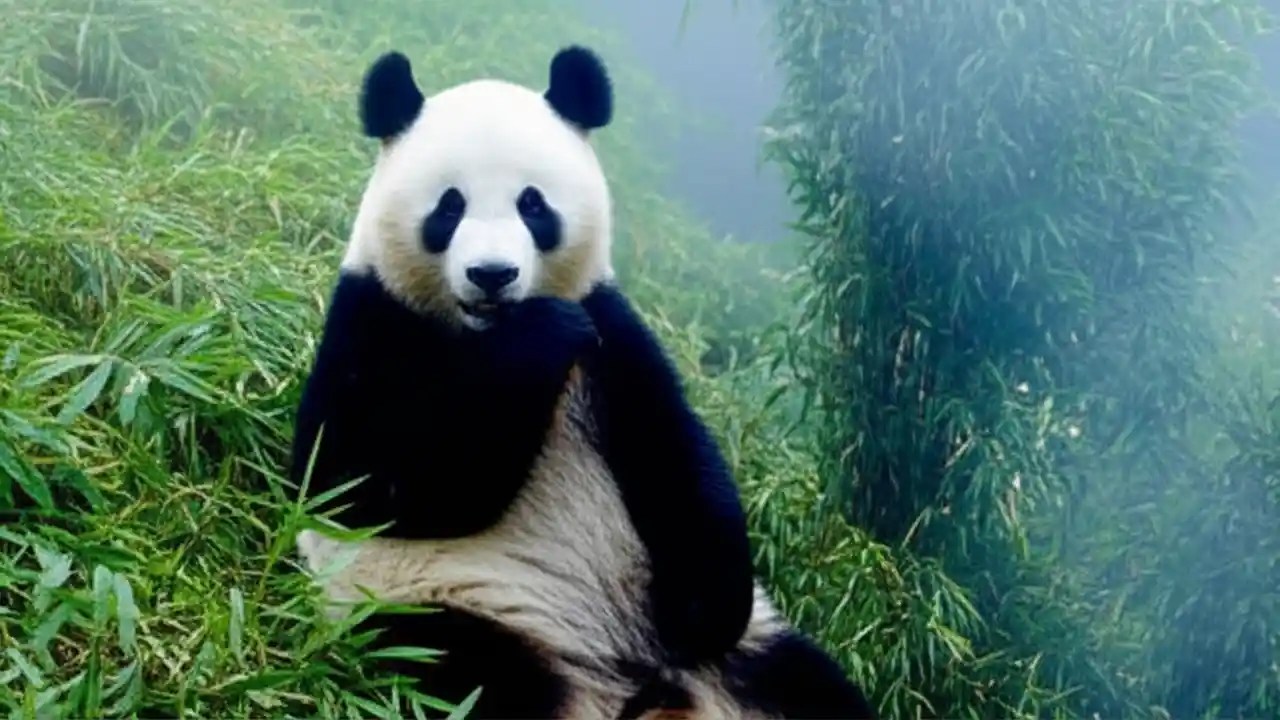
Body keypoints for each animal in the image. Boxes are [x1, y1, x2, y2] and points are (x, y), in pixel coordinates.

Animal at [288, 43, 877, 720]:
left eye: (533, 205)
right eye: (449, 207)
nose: (493, 275)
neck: (483, 334)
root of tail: (635, 686)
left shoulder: (612, 338)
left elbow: (674, 456)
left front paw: (703, 610)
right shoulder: (374, 320)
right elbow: (359, 480)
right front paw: (540, 337)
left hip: (749, 663)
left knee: (806, 683)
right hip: (447, 612)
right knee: (465, 675)